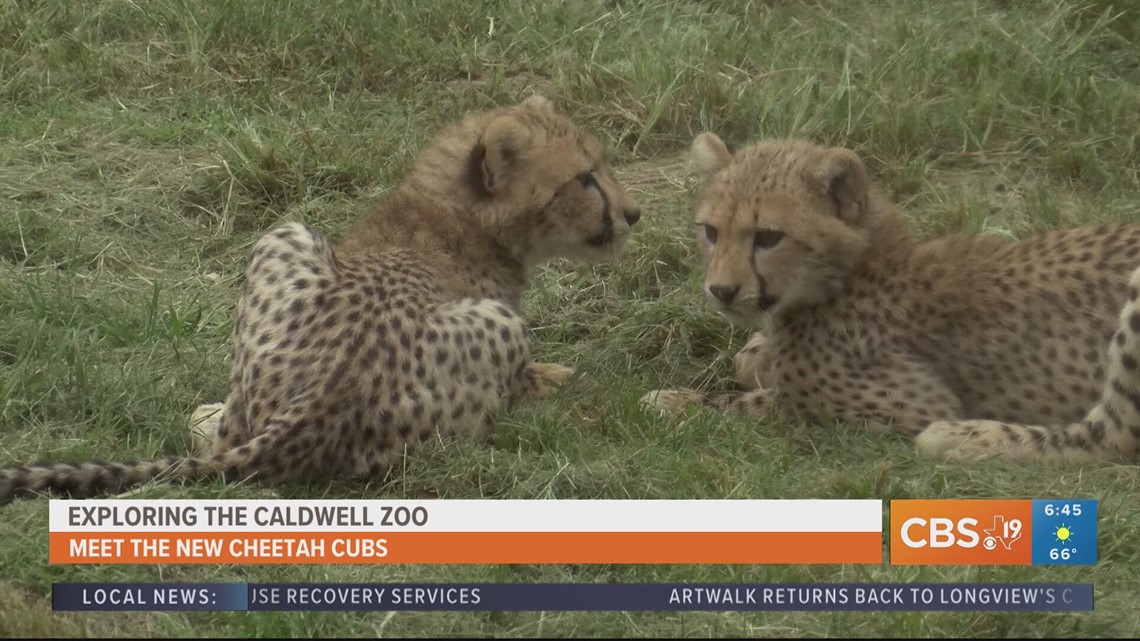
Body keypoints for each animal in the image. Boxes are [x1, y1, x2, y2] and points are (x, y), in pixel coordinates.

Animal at [0, 94, 642, 504]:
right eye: (585, 178)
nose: (633, 213)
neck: (454, 211)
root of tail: (313, 405)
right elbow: (532, 378)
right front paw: (554, 376)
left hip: (283, 236)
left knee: (229, 430)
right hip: (478, 316)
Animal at [641, 131, 1140, 464]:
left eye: (767, 237)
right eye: (711, 232)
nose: (721, 290)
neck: (851, 271)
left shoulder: (905, 404)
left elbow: (769, 403)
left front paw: (674, 403)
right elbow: (750, 361)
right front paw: (753, 357)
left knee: (1115, 437)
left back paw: (964, 438)